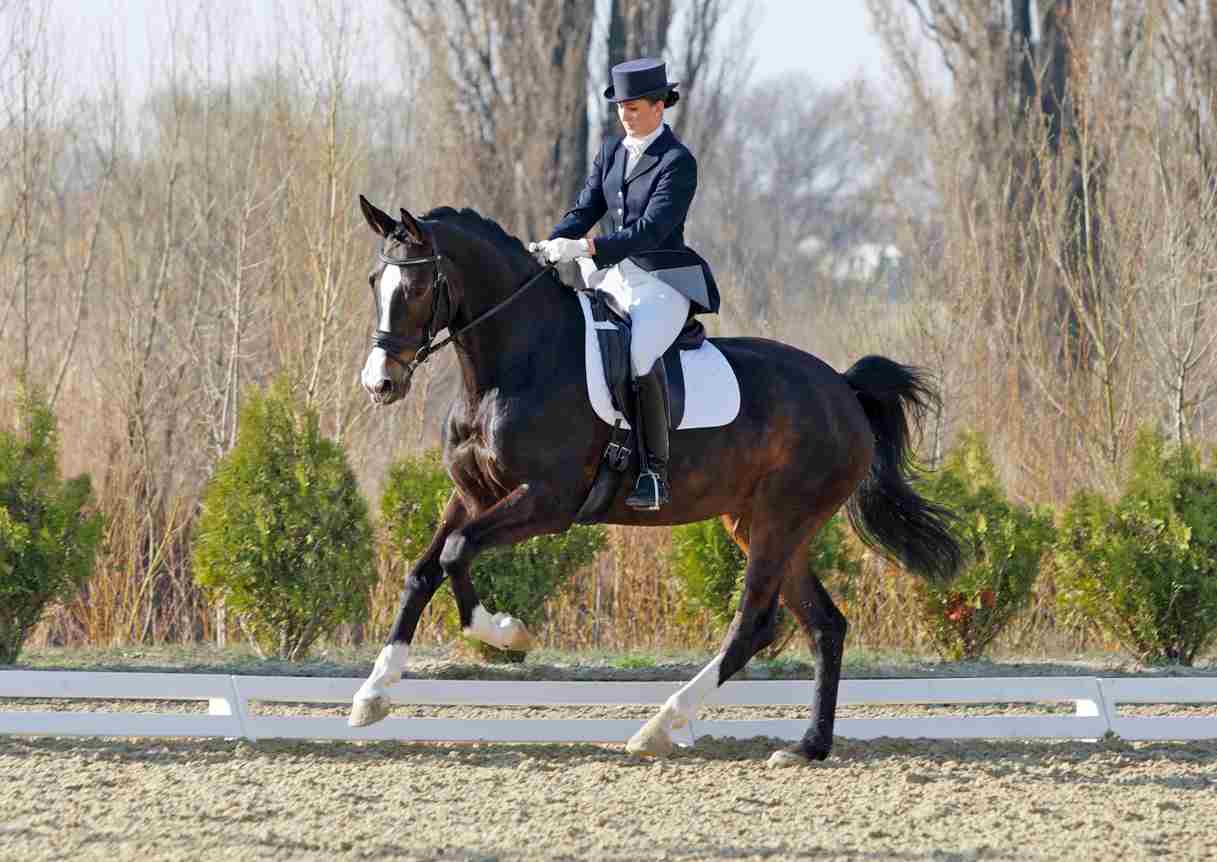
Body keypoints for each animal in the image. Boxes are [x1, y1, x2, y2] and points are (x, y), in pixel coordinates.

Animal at [350, 196, 961, 765]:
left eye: (419, 286)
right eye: (376, 282)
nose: (381, 384)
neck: (513, 364)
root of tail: (843, 388)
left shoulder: (547, 503)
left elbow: (456, 552)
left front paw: (506, 631)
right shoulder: (472, 494)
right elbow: (424, 571)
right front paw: (373, 694)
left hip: (781, 520)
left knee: (754, 623)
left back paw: (662, 726)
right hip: (758, 523)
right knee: (824, 626)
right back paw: (807, 746)